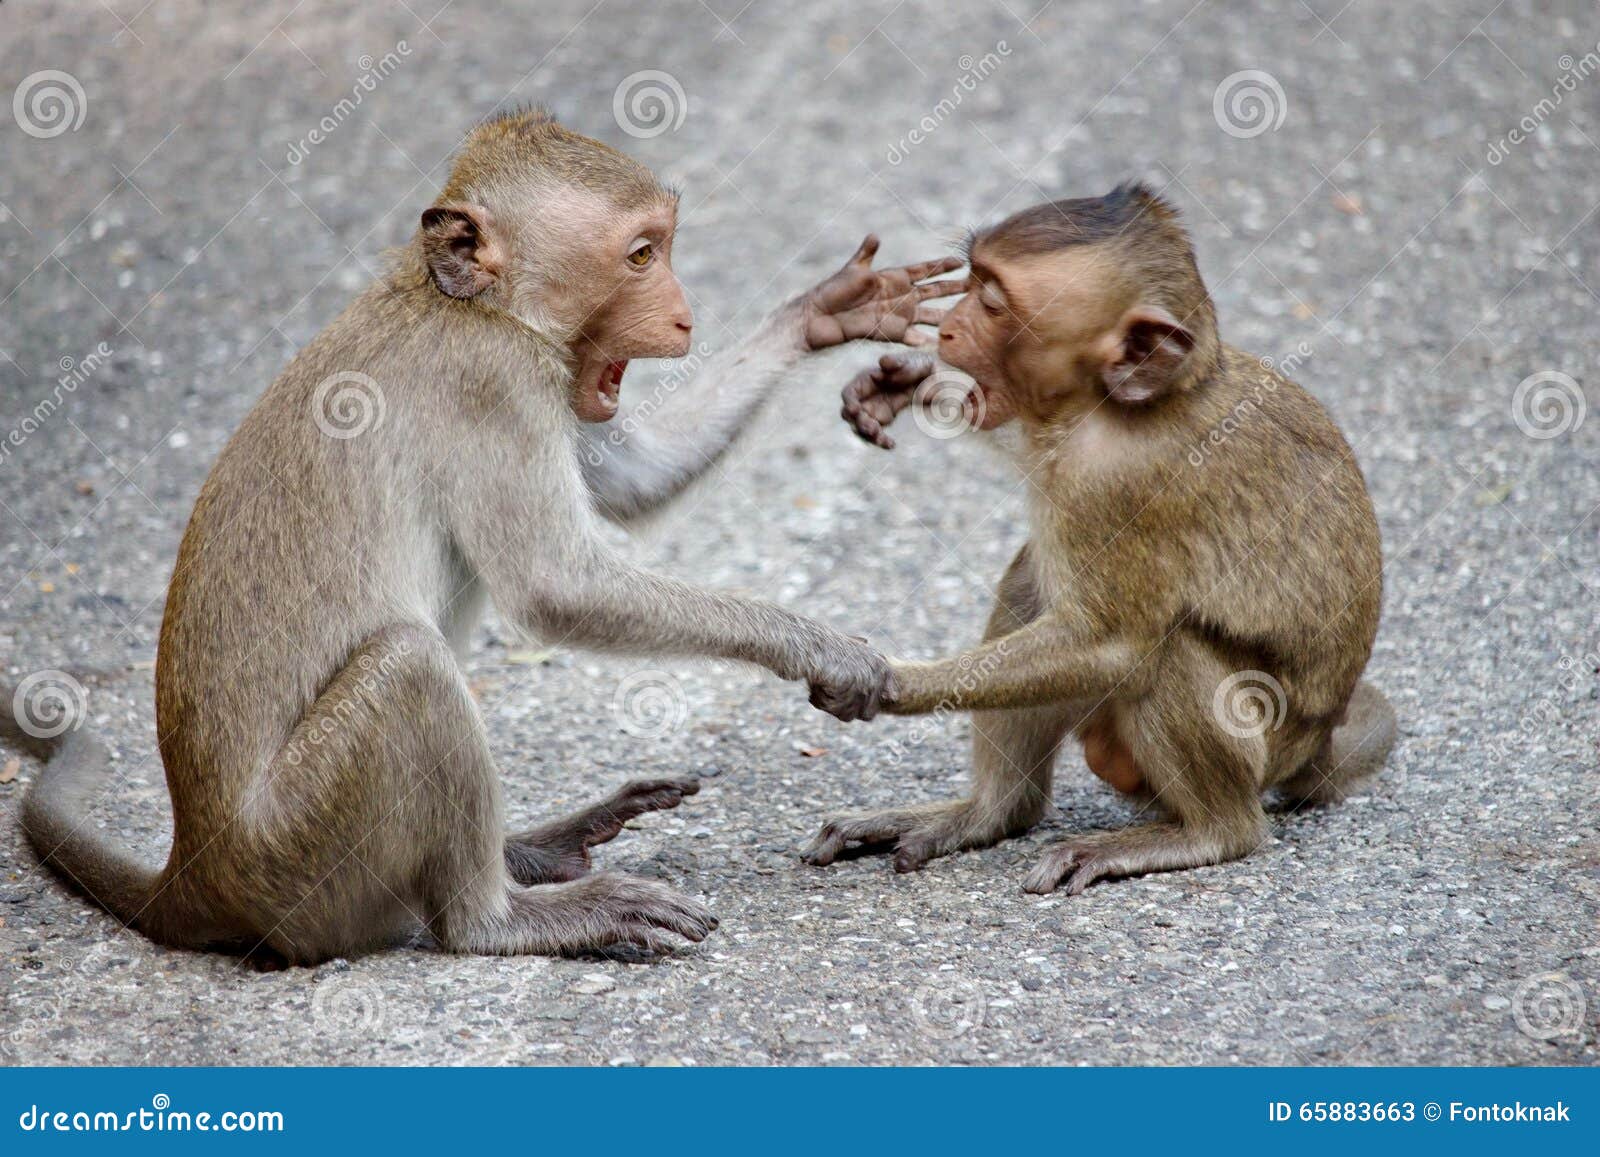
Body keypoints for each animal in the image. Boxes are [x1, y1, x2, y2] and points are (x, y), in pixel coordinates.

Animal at [5, 109, 956, 963]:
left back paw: (533, 851)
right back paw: (503, 915)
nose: (686, 317)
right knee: (411, 669)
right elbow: (555, 583)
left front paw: (828, 310)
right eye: (642, 255)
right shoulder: (495, 381)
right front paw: (822, 648)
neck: (475, 306)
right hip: (299, 854)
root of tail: (193, 873)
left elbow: (631, 480)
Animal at [805, 182, 1397, 895]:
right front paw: (905, 386)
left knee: (1166, 651)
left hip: (1265, 750)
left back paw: (1211, 831)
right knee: (1031, 580)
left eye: (993, 302)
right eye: (970, 283)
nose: (946, 327)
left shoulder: (1118, 483)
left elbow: (1113, 646)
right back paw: (991, 812)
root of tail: (1318, 748)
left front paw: (887, 679)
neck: (1114, 407)